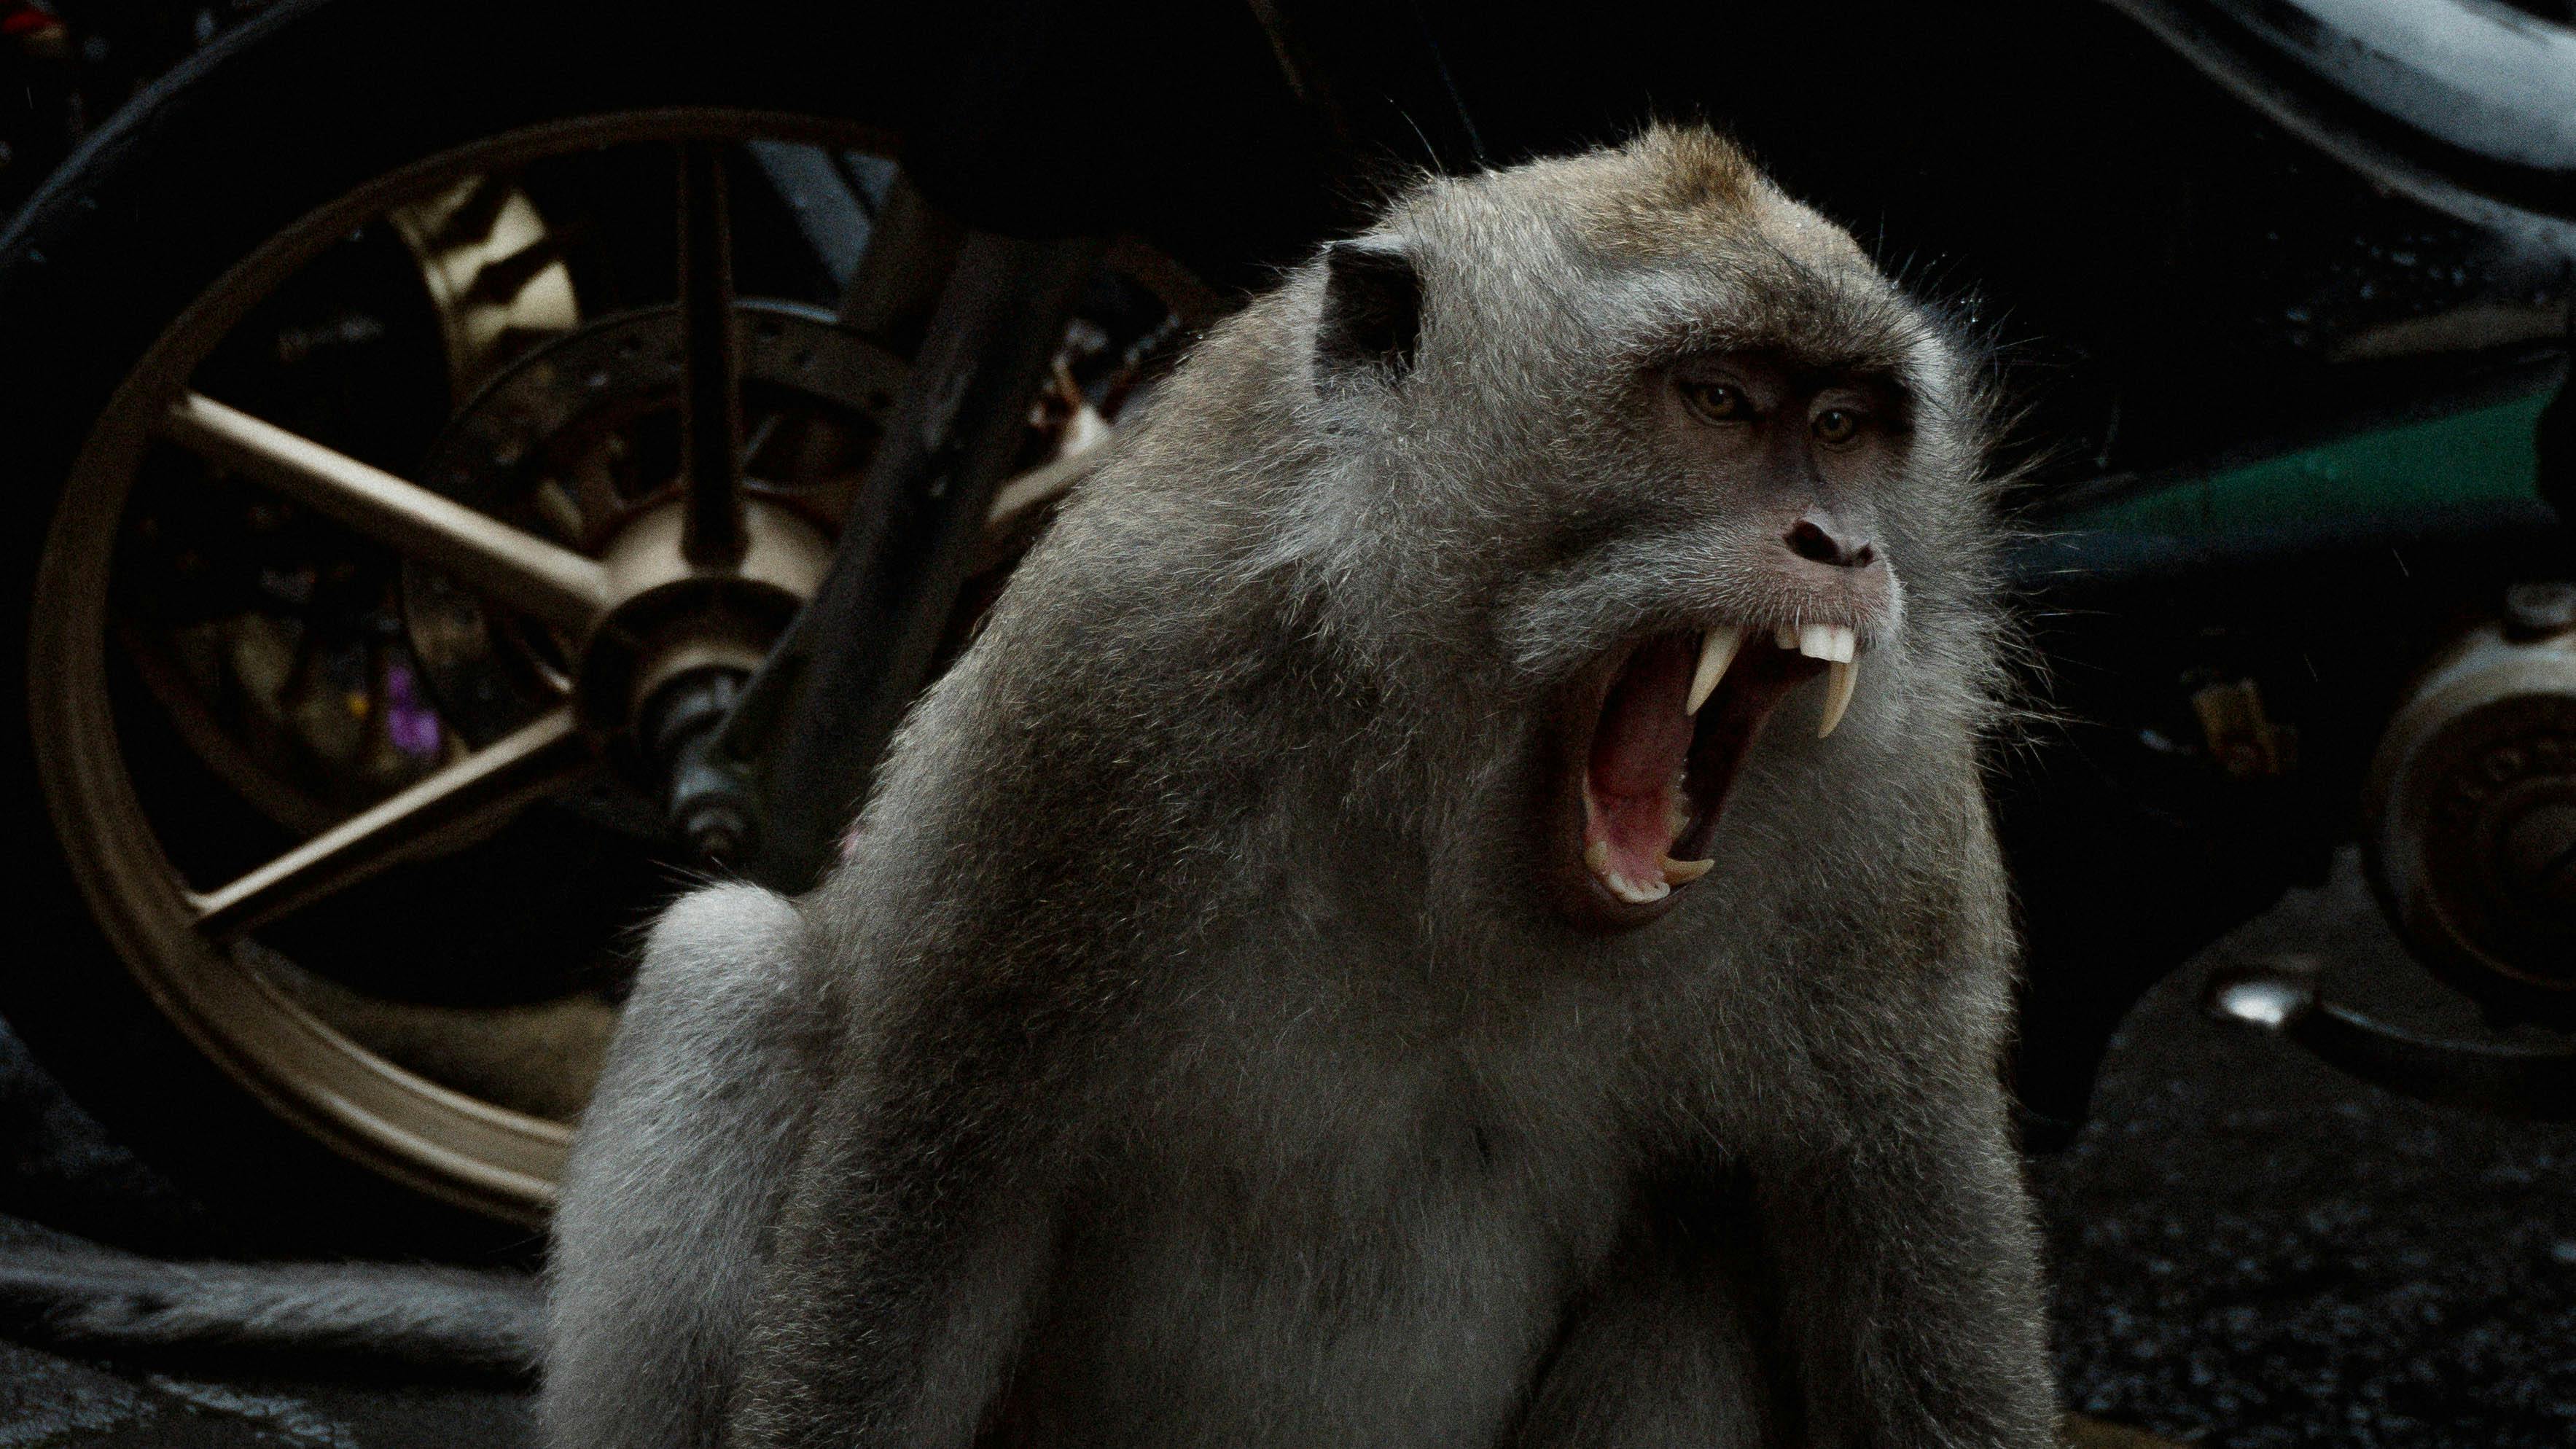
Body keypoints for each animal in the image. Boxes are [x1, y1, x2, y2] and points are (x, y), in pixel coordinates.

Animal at [539, 123, 2058, 1449]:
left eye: (1847, 424)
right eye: (1722, 402)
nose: (1842, 545)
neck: (1448, 790)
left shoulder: (1897, 844)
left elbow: (1906, 1264)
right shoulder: (1091, 712)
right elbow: (927, 1197)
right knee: (725, 969)